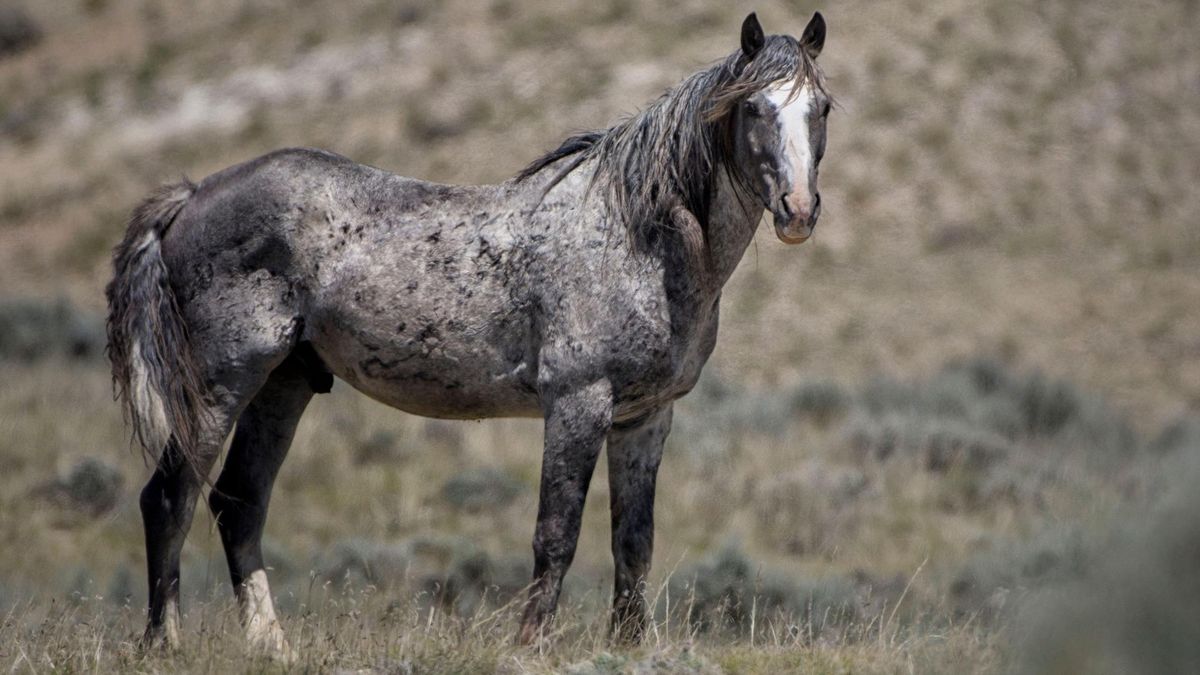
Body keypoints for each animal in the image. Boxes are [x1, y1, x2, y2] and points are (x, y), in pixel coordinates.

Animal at [105, 11, 831, 656]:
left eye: (821, 107)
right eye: (755, 107)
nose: (798, 211)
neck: (635, 237)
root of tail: (191, 196)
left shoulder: (644, 418)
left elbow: (634, 541)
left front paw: (626, 645)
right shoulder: (578, 403)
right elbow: (556, 533)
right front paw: (531, 644)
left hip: (284, 385)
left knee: (239, 506)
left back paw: (271, 647)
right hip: (220, 386)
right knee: (169, 500)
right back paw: (164, 643)